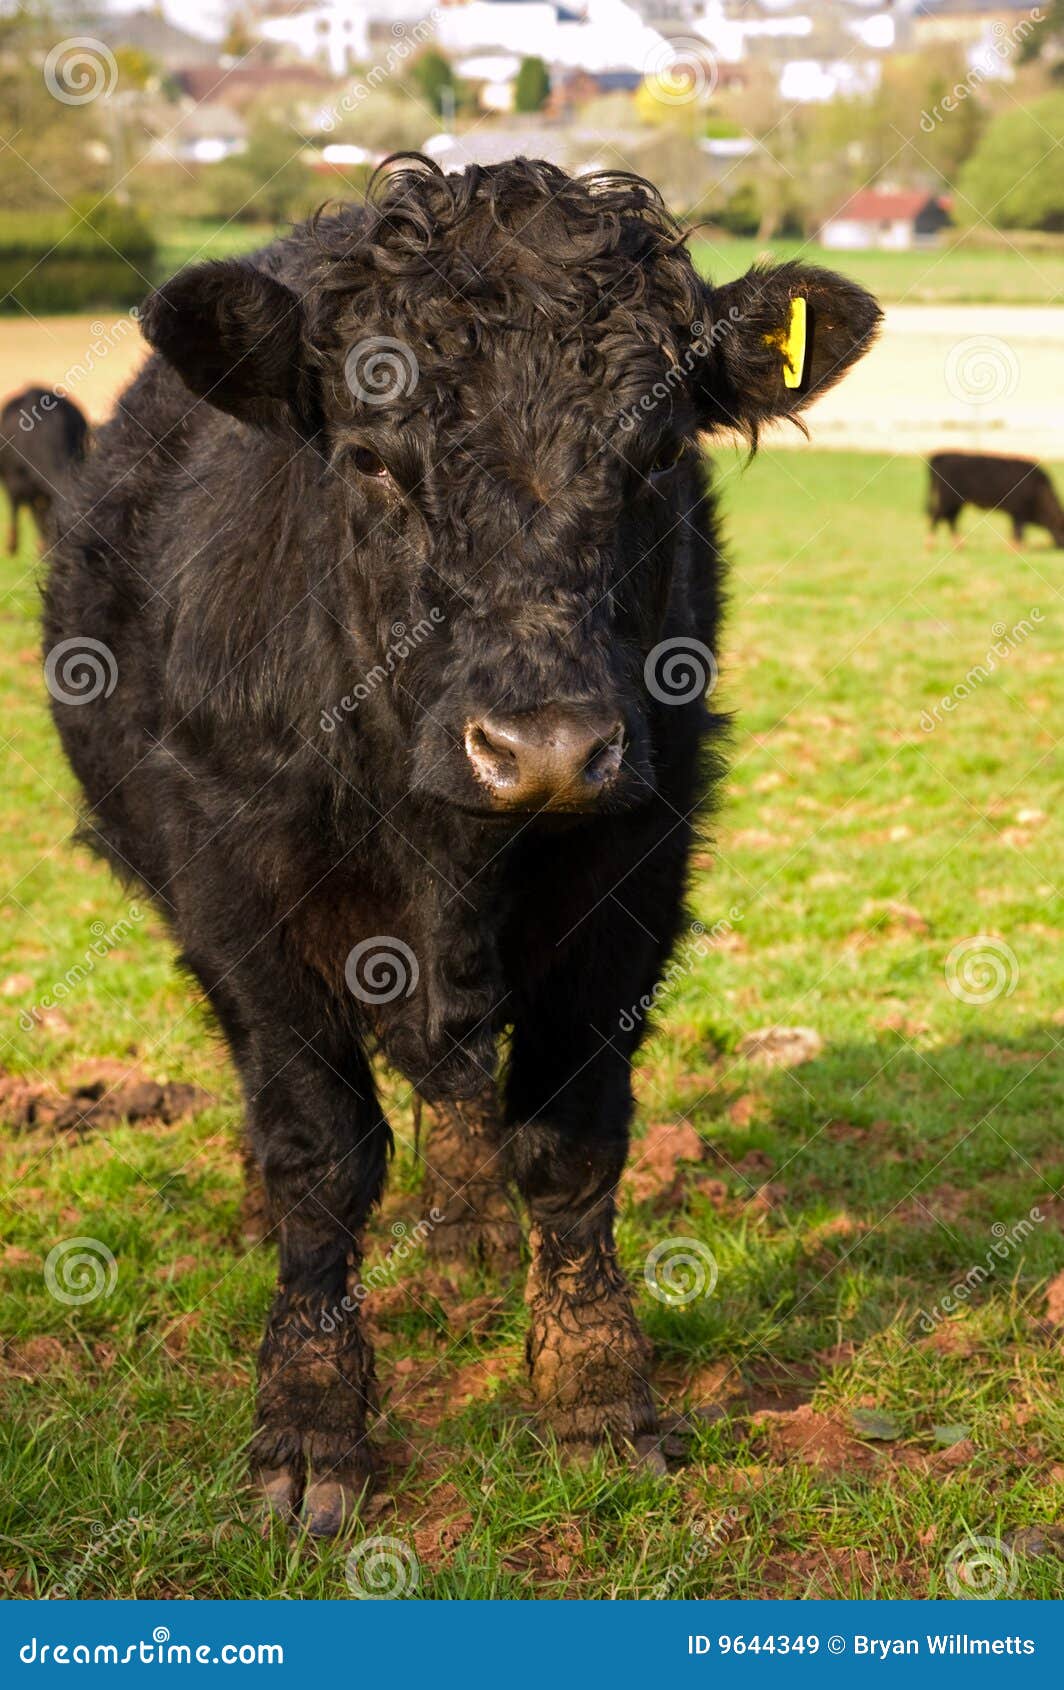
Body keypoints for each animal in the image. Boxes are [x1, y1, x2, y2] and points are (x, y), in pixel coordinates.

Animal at [43, 156, 879, 1535]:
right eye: (374, 463)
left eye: (656, 452)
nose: (540, 746)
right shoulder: (239, 889)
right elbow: (320, 1150)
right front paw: (309, 1422)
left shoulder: (631, 876)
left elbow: (567, 1137)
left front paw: (595, 1392)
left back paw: (470, 1229)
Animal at [927, 451, 1064, 549]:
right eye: (1061, 526)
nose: (1060, 546)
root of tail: (941, 456)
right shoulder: (1019, 513)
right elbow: (1018, 531)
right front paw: (1018, 548)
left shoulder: (1017, 514)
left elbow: (1016, 531)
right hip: (947, 501)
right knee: (937, 517)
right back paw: (930, 545)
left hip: (956, 503)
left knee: (951, 519)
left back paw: (958, 546)